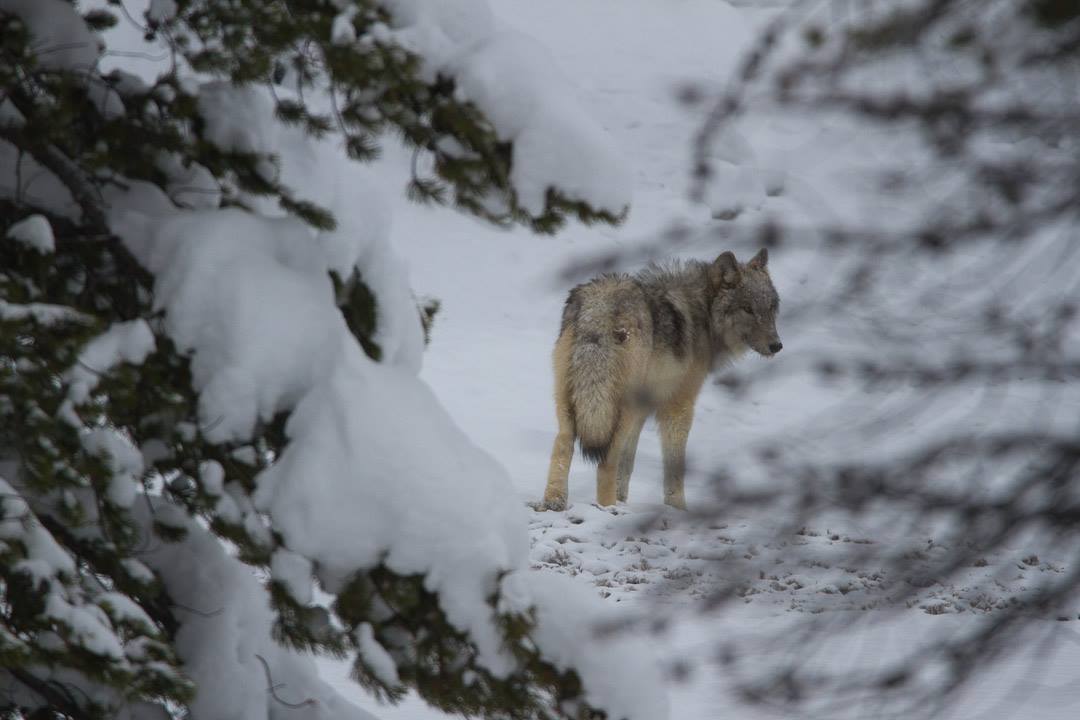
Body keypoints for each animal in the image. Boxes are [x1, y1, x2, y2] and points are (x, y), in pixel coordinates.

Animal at [541, 248, 781, 511]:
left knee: (563, 445)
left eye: (771, 307)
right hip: (617, 408)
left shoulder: (643, 410)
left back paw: (555, 501)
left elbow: (627, 464)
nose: (777, 346)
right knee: (605, 462)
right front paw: (678, 508)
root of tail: (600, 304)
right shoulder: (678, 406)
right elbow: (673, 468)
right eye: (747, 309)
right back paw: (607, 508)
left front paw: (623, 501)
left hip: (574, 404)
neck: (704, 313)